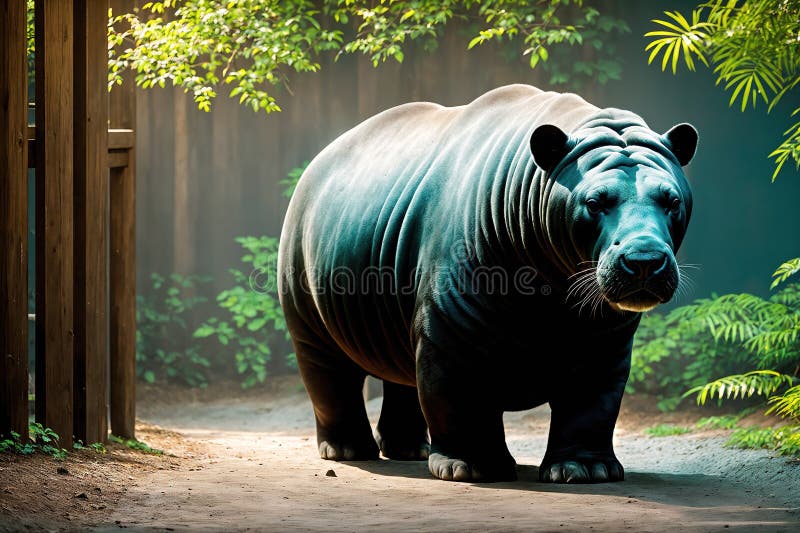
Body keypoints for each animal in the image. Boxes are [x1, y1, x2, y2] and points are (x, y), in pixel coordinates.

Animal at [277, 84, 697, 483]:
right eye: (594, 203)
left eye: (672, 201)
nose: (644, 261)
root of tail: (317, 161)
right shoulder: (450, 323)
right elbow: (458, 392)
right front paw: (471, 469)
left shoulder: (605, 334)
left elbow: (593, 402)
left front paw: (586, 471)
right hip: (299, 241)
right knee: (325, 360)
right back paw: (347, 452)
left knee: (401, 360)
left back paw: (409, 451)